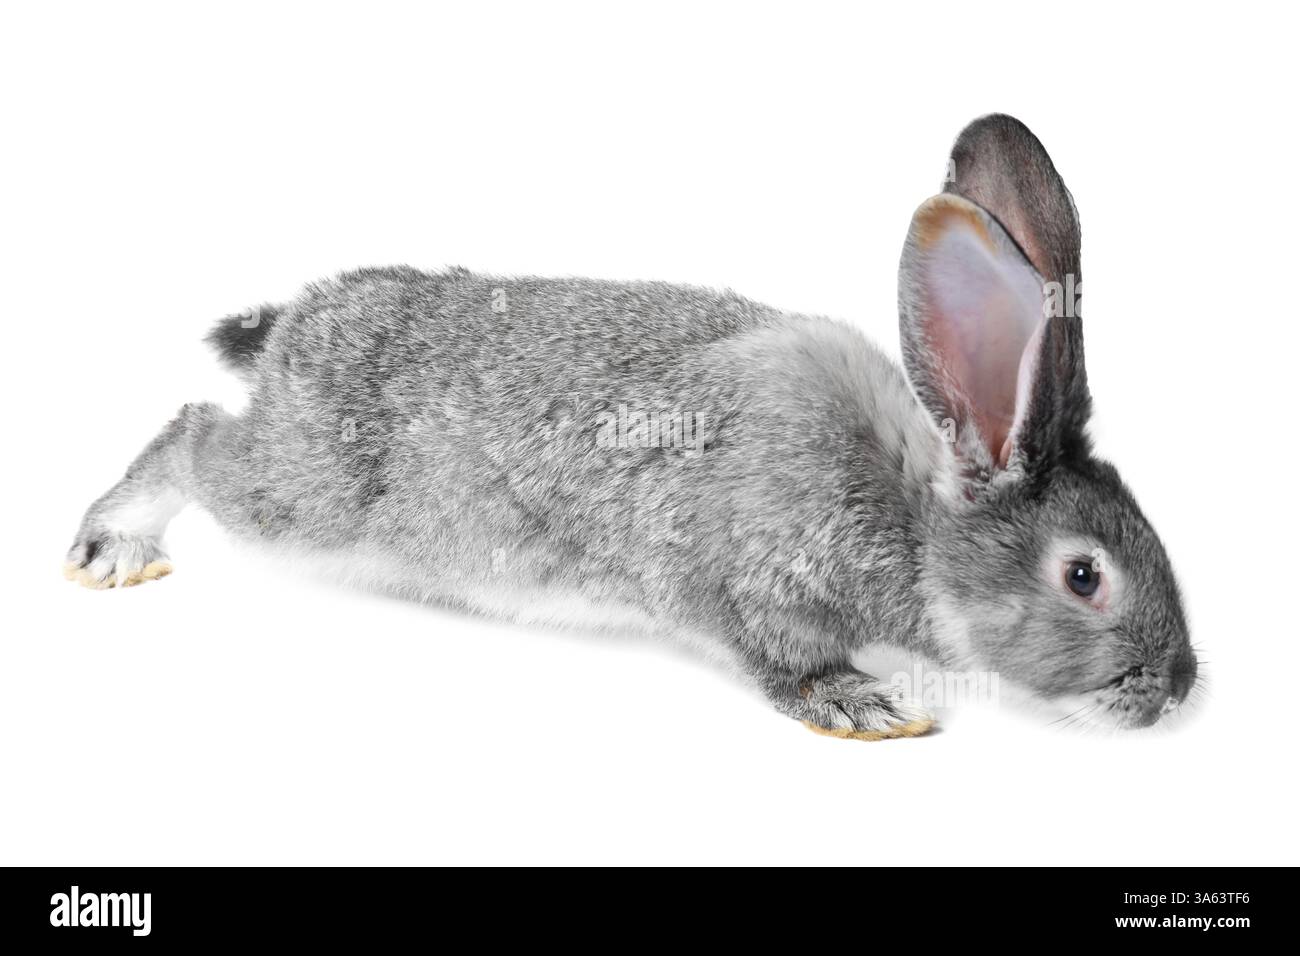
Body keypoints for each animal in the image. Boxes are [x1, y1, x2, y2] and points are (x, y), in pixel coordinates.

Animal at [65, 114, 1196, 739]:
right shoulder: (737, 581)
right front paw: (862, 706)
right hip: (300, 496)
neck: (912, 525)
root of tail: (296, 327)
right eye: (1084, 576)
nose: (1179, 692)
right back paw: (110, 547)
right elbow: (777, 660)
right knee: (195, 433)